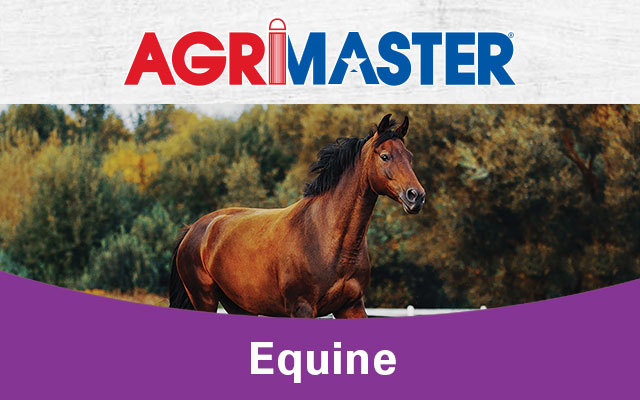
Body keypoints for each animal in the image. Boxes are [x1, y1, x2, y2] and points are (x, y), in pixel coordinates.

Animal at [169, 114, 426, 318]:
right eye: (385, 156)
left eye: (410, 156)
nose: (416, 196)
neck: (327, 239)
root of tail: (195, 228)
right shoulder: (301, 308)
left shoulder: (351, 306)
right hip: (204, 299)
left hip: (239, 306)